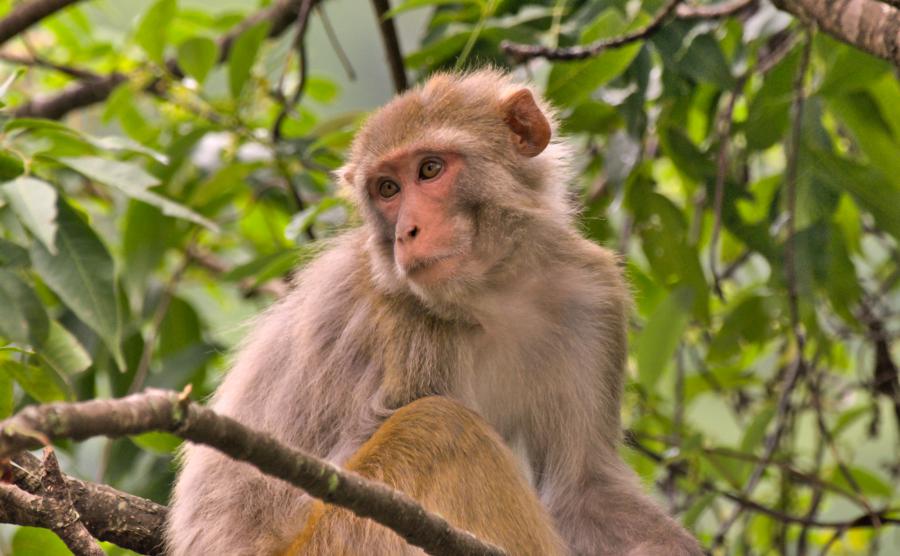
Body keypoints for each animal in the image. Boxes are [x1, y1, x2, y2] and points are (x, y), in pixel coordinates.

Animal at [166, 69, 702, 556]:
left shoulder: (591, 298)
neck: (494, 292)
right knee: (440, 426)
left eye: (429, 169)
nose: (408, 231)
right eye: (387, 189)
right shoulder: (405, 320)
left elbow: (582, 490)